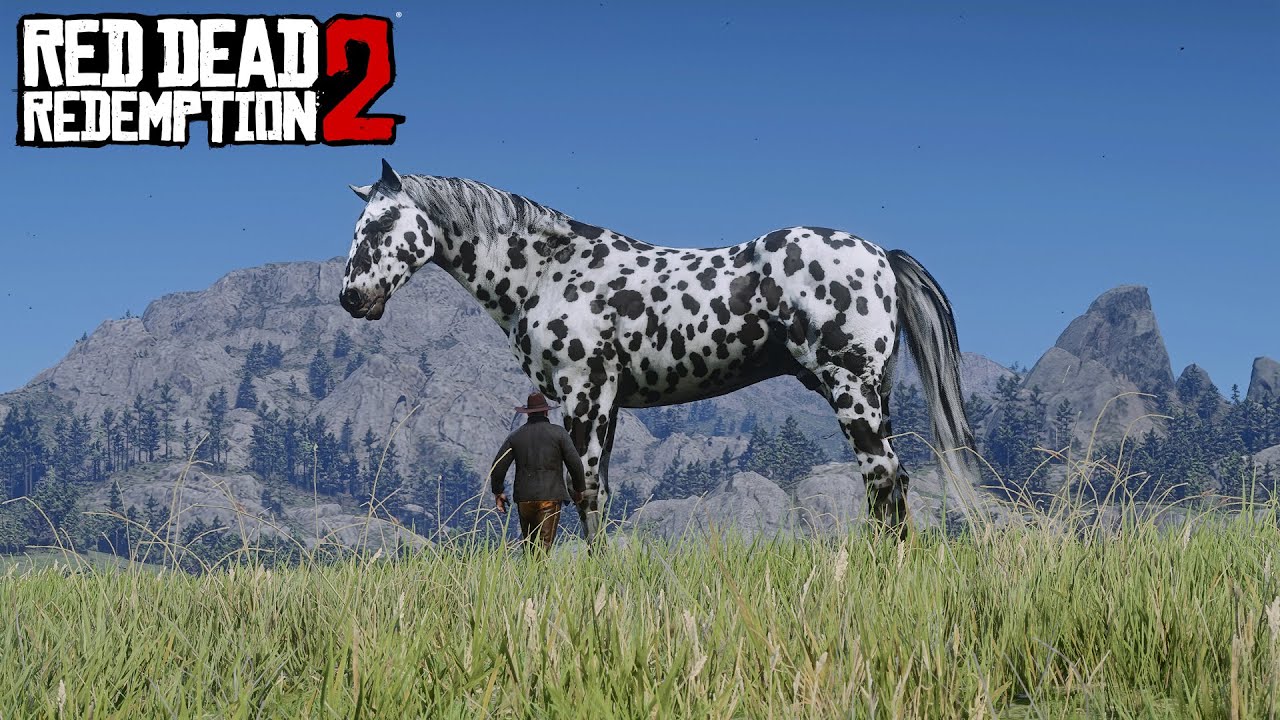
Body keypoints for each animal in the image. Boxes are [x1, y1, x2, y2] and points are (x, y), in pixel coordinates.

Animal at [339, 160, 979, 542]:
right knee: (894, 481)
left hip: (850, 390)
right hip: (874, 394)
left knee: (881, 476)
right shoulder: (608, 403)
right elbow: (595, 492)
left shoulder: (584, 395)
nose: (352, 297)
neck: (548, 272)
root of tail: (881, 256)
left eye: (381, 226)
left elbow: (586, 491)